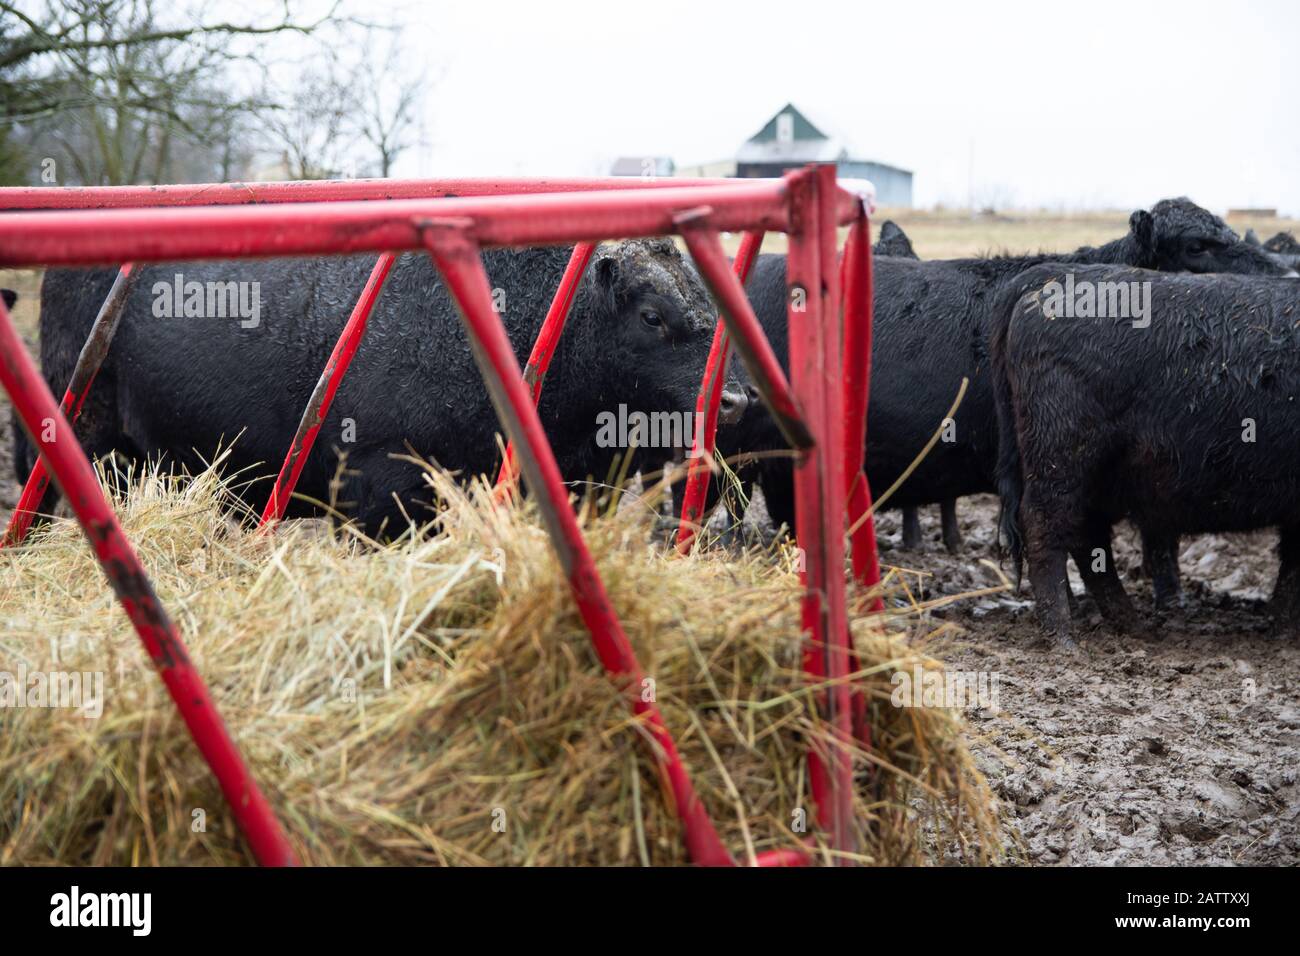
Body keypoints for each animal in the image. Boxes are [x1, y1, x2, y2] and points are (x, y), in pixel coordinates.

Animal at [991, 264, 1300, 642]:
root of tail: (1052, 274)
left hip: (1096, 472)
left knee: (1087, 537)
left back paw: (1132, 625)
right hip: (1061, 454)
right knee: (1043, 525)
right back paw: (1064, 639)